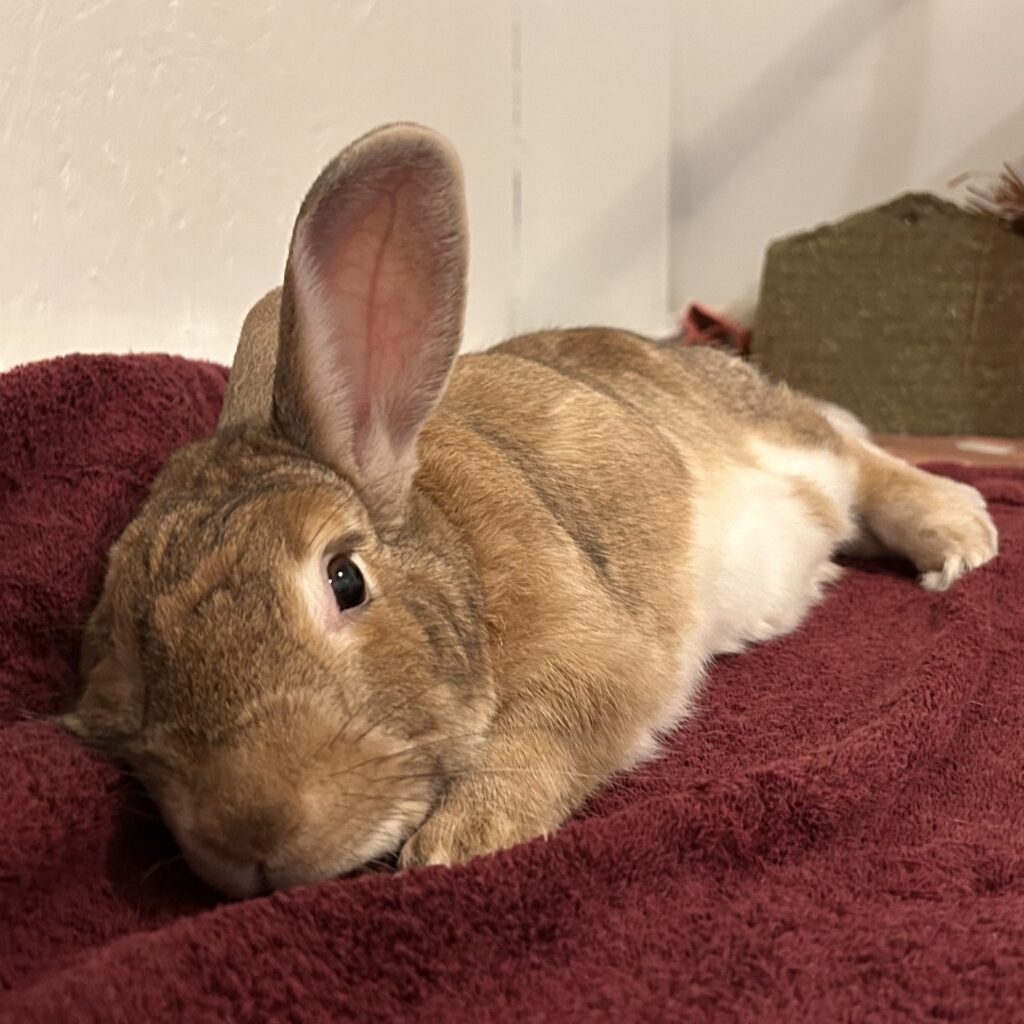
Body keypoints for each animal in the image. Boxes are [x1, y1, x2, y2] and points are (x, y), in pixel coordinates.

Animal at [62, 123, 999, 898]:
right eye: (120, 657)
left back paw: (962, 540)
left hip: (774, 435)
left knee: (854, 452)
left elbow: (549, 728)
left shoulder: (595, 648)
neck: (457, 557)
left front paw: (460, 841)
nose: (251, 837)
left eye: (345, 579)